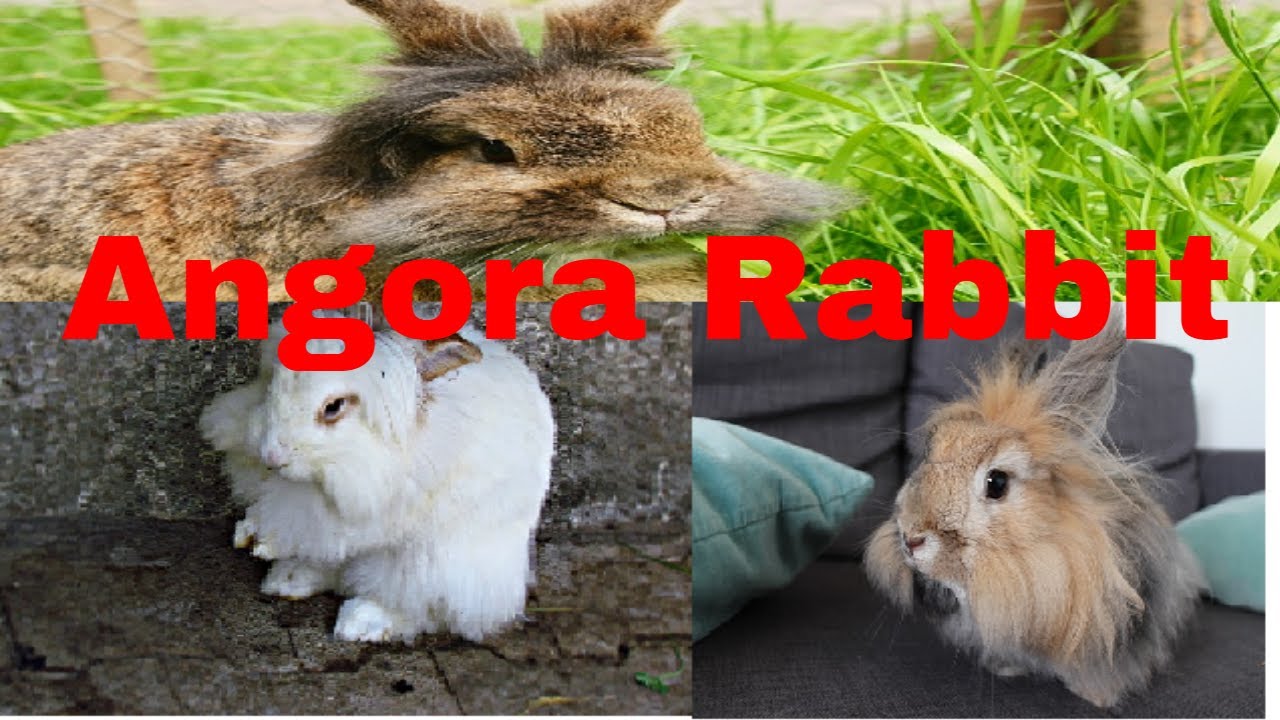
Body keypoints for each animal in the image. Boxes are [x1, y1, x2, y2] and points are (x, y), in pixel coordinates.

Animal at [199, 318, 555, 642]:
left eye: (333, 407)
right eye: (273, 383)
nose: (272, 456)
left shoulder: (369, 510)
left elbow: (313, 526)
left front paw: (264, 540)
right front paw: (248, 532)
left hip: (437, 566)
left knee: (423, 607)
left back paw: (361, 621)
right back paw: (288, 578)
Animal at [863, 315, 1205, 708]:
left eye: (997, 482)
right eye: (929, 454)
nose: (910, 538)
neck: (1037, 556)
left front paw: (1097, 698)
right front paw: (1006, 668)